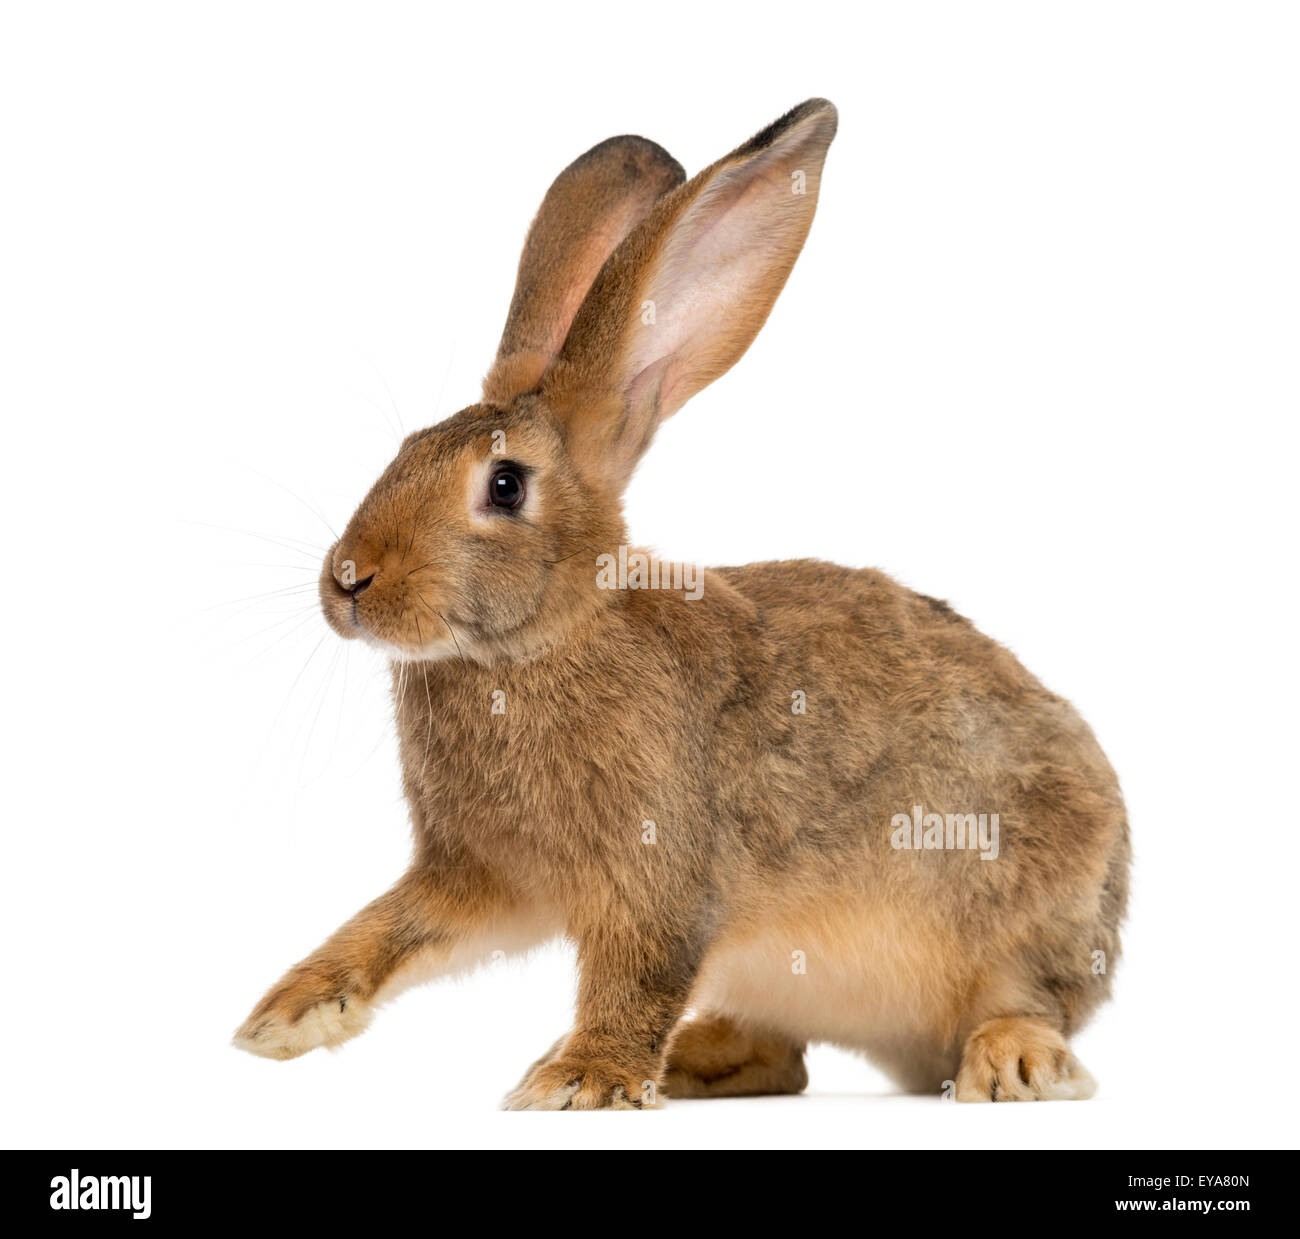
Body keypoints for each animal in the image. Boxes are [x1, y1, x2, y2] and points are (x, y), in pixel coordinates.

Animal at [234, 98, 1129, 1108]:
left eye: (504, 485)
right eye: (403, 449)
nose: (349, 578)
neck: (539, 642)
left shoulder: (659, 866)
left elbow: (639, 968)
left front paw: (579, 1080)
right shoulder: (482, 880)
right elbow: (396, 925)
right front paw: (287, 1015)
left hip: (1032, 909)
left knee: (1031, 1000)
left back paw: (1009, 1061)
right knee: (785, 1052)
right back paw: (708, 1056)